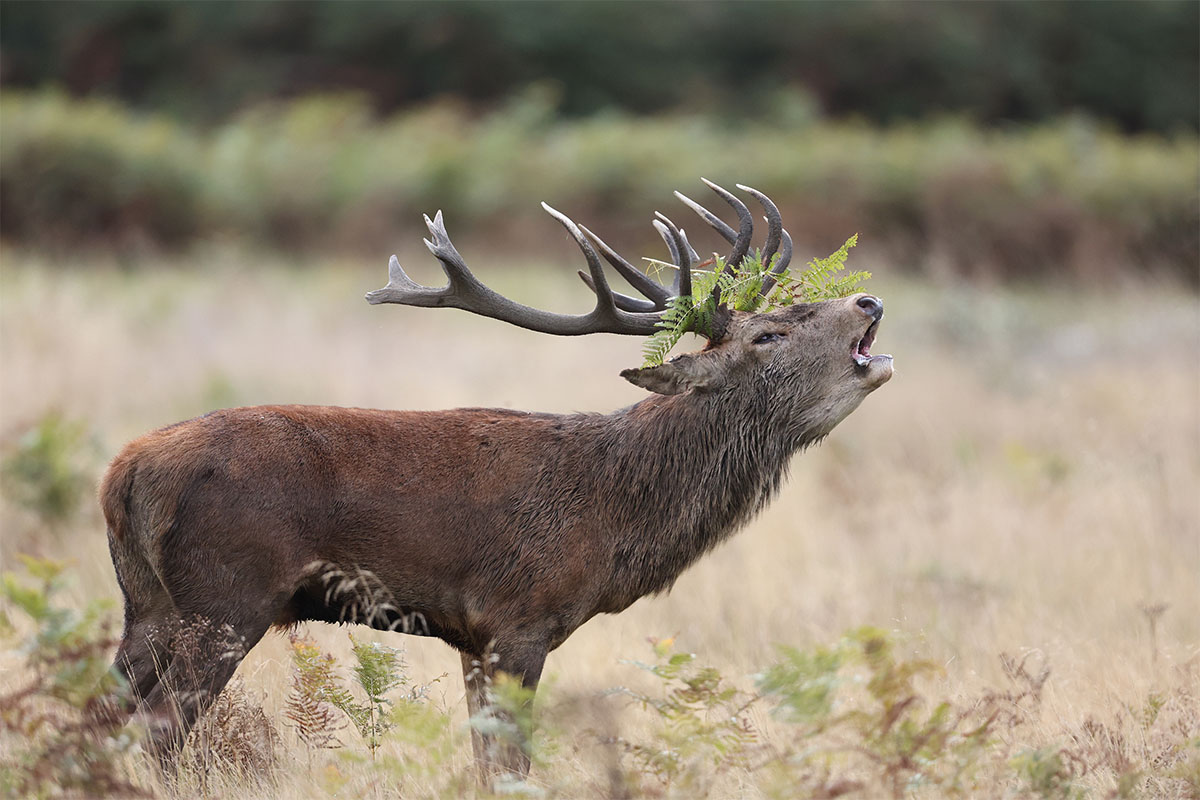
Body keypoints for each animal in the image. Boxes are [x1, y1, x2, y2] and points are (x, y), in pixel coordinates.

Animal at [99, 180, 893, 781]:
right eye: (769, 335)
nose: (868, 302)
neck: (617, 515)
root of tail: (123, 471)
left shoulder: (470, 637)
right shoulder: (518, 619)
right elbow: (511, 766)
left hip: (148, 604)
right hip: (227, 595)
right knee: (161, 730)